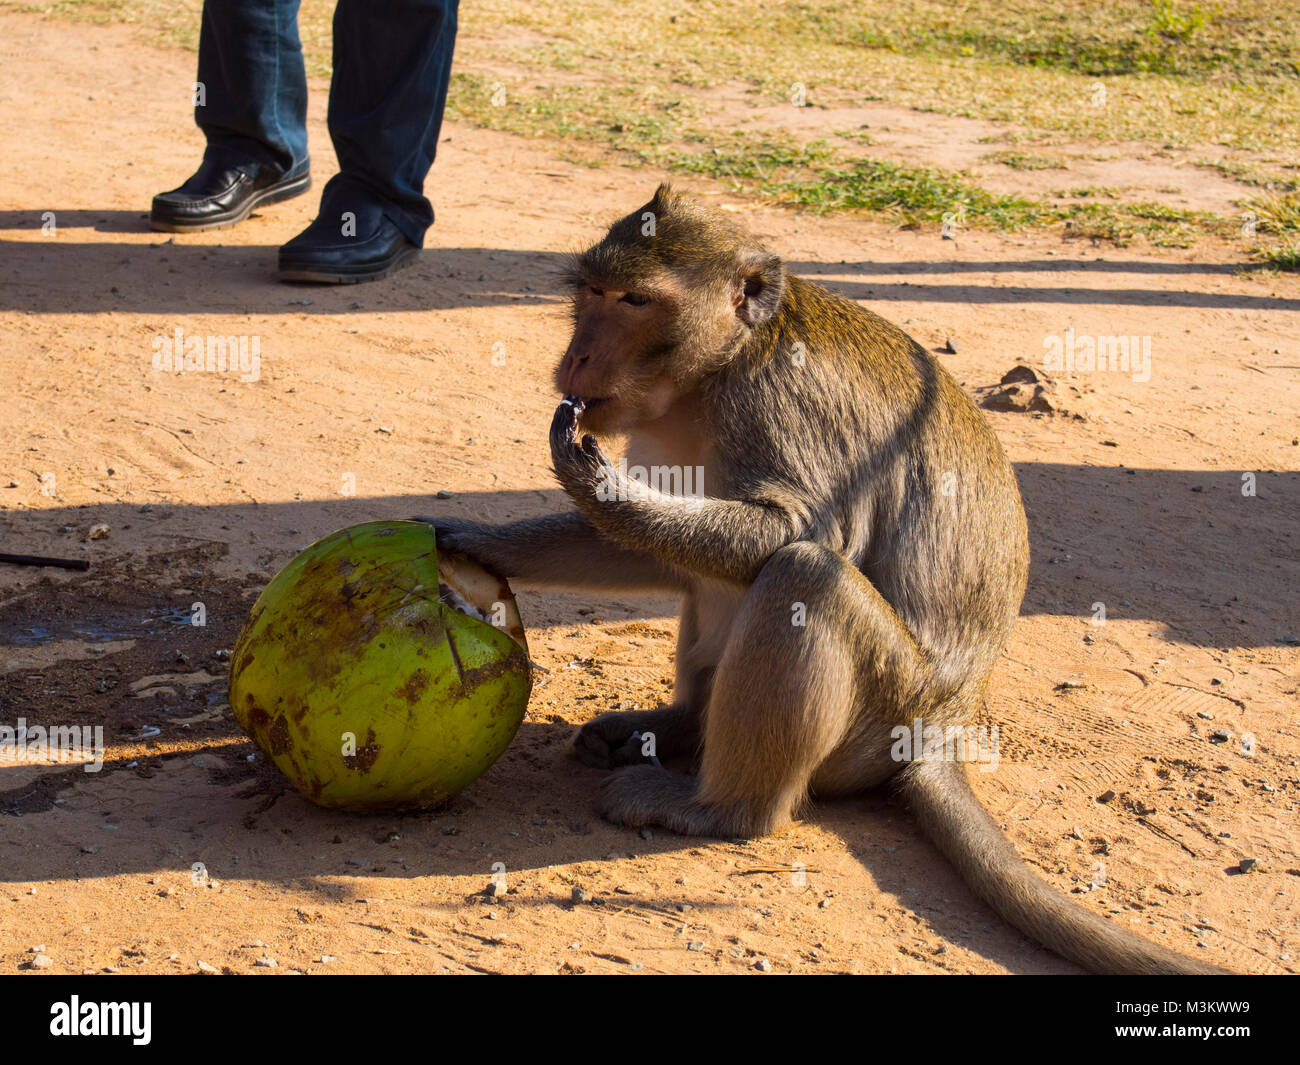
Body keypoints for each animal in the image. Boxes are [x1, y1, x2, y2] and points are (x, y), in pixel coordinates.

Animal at [420, 184, 1228, 975]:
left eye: (635, 301)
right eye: (591, 291)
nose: (578, 355)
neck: (715, 373)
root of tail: (943, 730)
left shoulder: (778, 403)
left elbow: (797, 534)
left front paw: (597, 485)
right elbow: (655, 554)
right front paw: (467, 540)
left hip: (879, 717)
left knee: (805, 576)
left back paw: (723, 809)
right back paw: (678, 727)